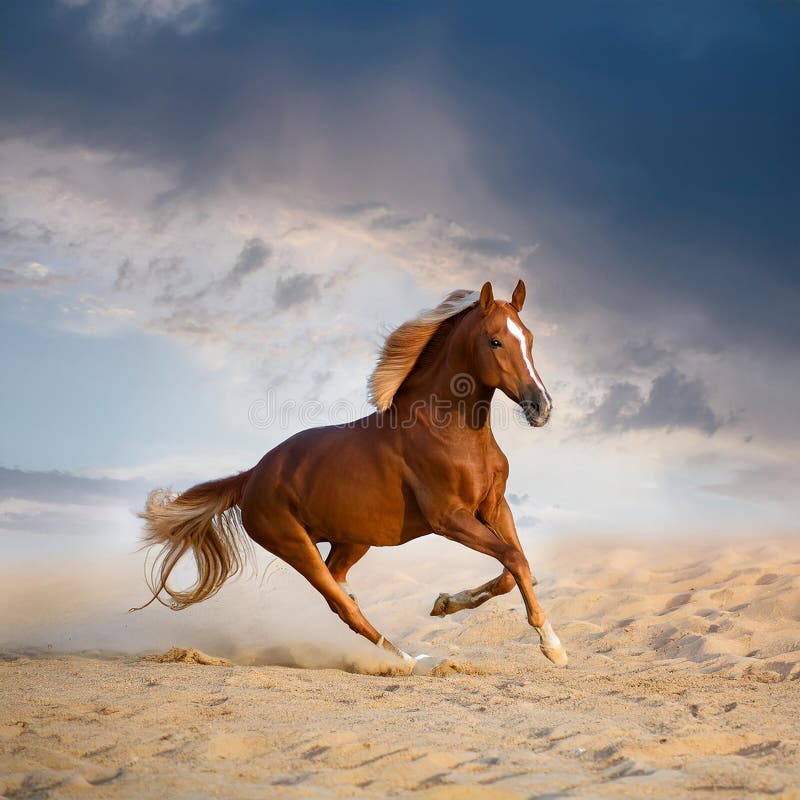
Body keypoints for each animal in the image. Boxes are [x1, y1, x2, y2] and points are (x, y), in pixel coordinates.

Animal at [134, 279, 567, 672]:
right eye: (495, 341)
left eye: (529, 338)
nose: (541, 407)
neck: (448, 429)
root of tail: (252, 475)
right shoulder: (450, 519)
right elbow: (514, 559)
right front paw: (553, 649)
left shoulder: (494, 508)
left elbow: (516, 568)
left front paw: (446, 603)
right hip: (295, 544)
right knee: (340, 604)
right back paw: (408, 661)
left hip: (354, 539)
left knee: (341, 582)